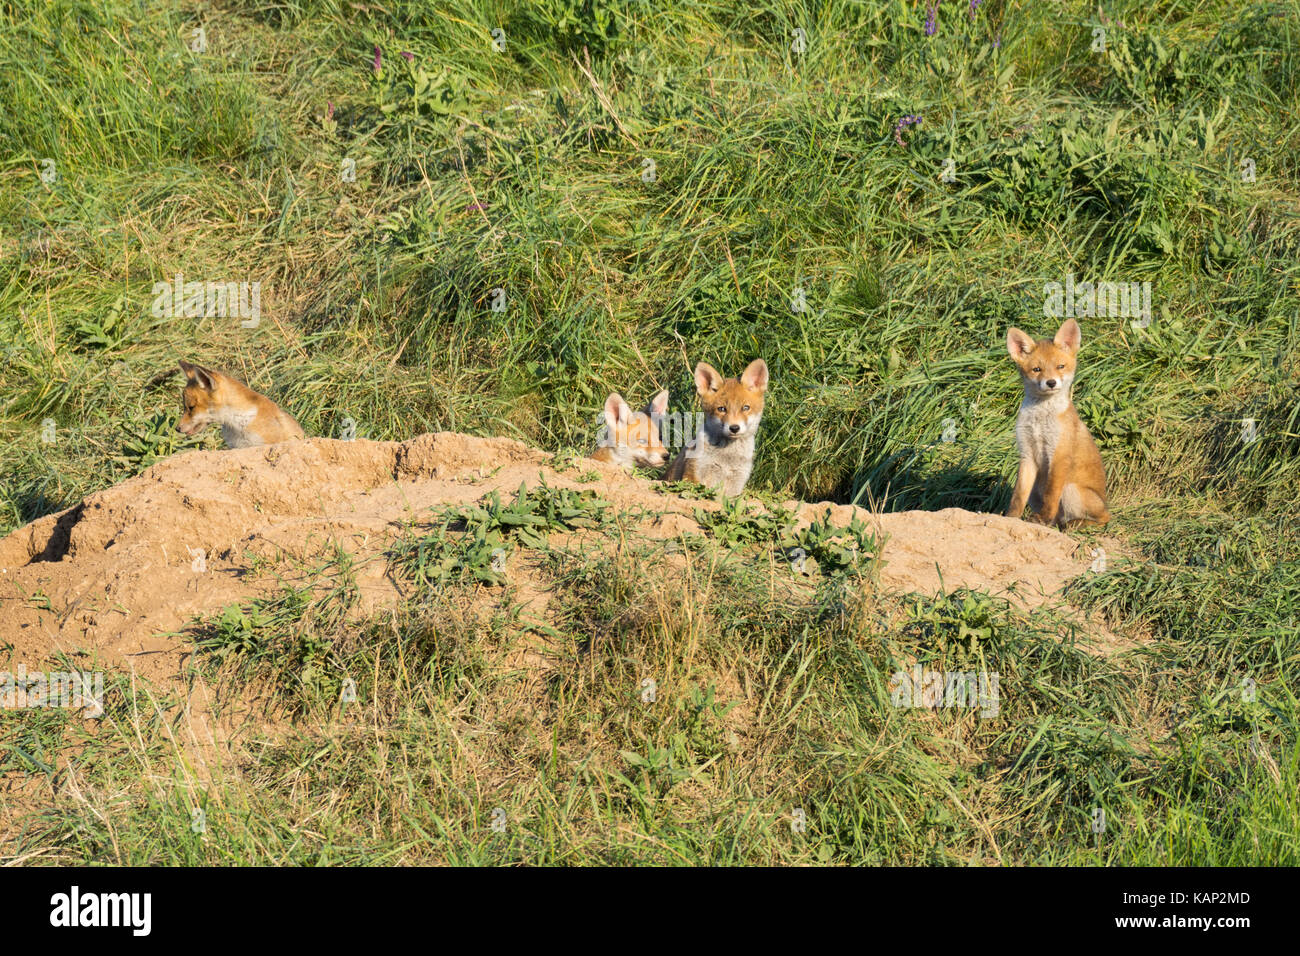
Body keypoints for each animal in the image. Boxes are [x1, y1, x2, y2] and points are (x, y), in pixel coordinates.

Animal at [664, 359, 768, 497]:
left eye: (746, 408)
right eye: (721, 409)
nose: (734, 428)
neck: (728, 459)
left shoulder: (737, 484)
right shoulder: (694, 475)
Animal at [1004, 319, 1110, 529]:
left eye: (1060, 366)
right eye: (1037, 369)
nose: (1051, 382)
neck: (1040, 421)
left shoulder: (1059, 454)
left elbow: (1051, 494)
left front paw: (1042, 518)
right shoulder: (1027, 454)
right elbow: (1018, 496)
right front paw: (1011, 518)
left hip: (1071, 490)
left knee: (1104, 518)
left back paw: (1075, 523)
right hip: (1036, 492)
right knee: (1057, 518)